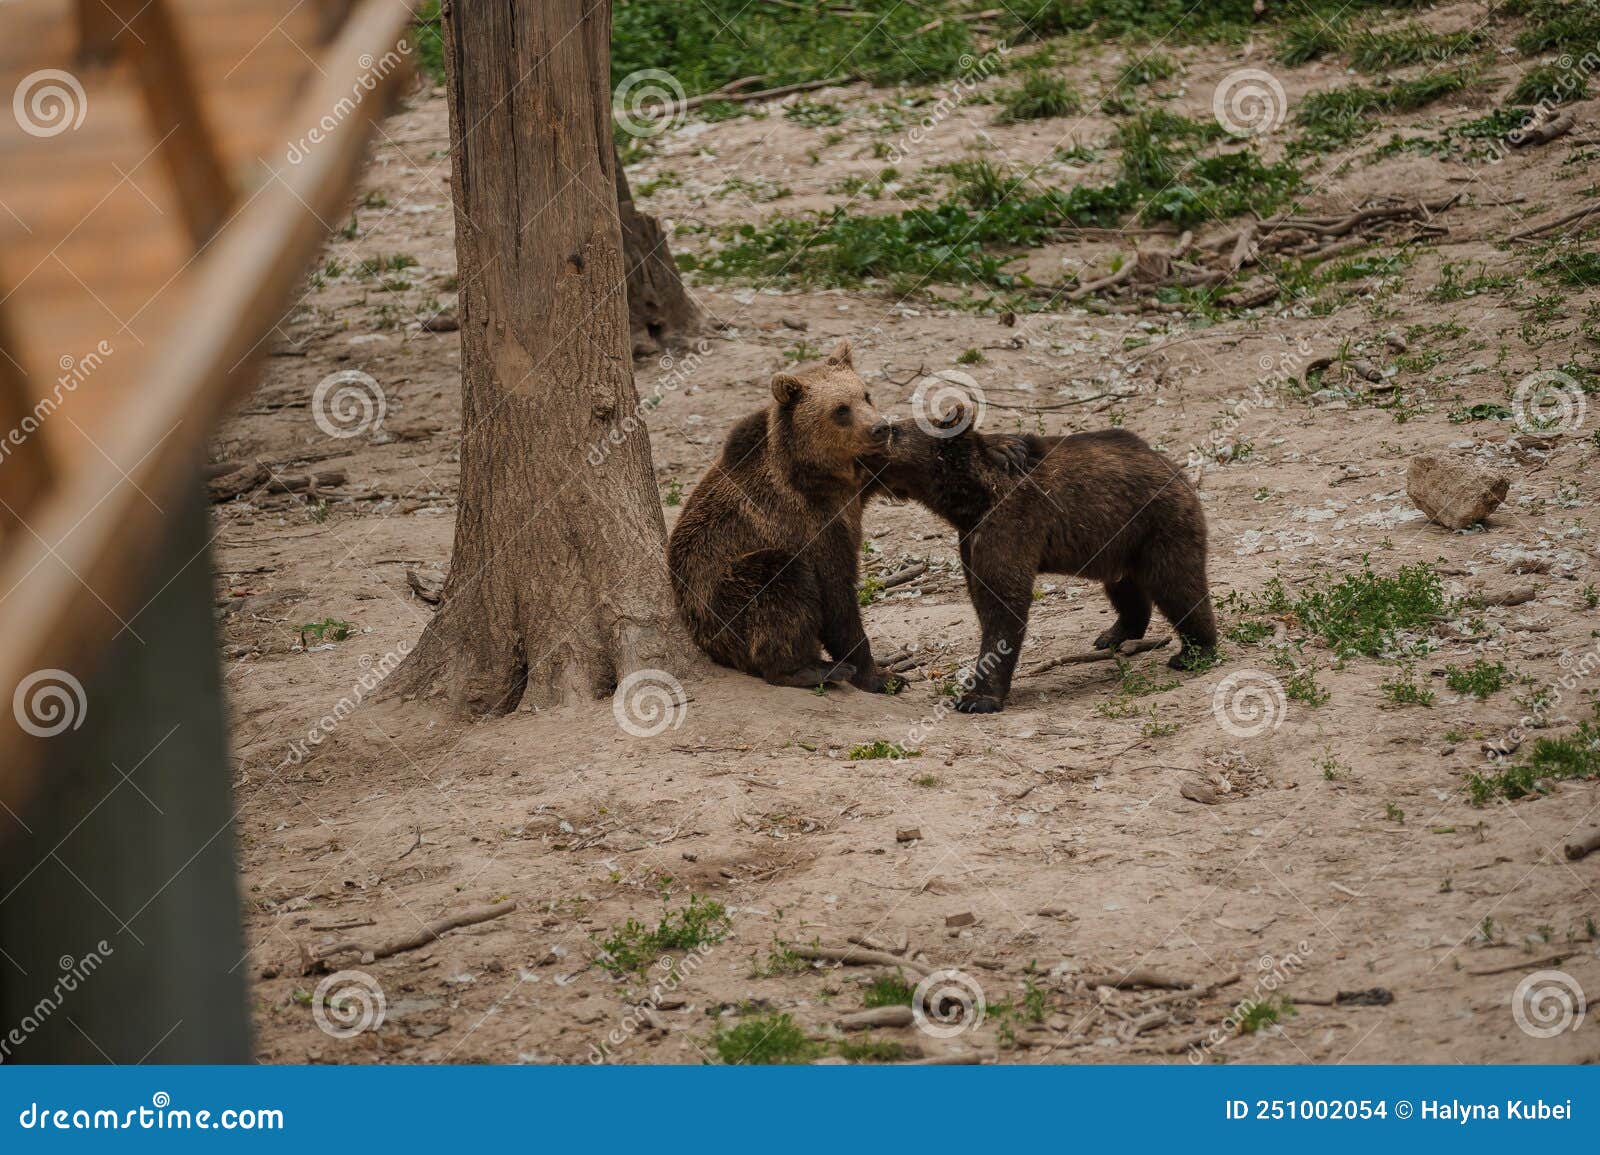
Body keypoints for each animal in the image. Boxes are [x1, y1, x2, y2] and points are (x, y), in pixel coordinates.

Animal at [666, 339, 894, 690]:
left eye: (865, 395)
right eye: (841, 409)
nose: (880, 427)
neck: (820, 476)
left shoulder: (855, 489)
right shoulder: (807, 522)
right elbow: (836, 593)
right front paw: (878, 675)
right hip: (723, 599)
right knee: (780, 582)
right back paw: (813, 669)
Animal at [863, 404, 1217, 713]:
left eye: (896, 430)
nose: (879, 427)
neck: (971, 498)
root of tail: (1175, 467)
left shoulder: (1013, 522)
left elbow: (1003, 602)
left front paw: (979, 697)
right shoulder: (971, 538)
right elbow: (982, 595)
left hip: (1159, 522)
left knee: (1177, 585)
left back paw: (1194, 651)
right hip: (1119, 539)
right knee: (1125, 586)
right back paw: (1115, 634)